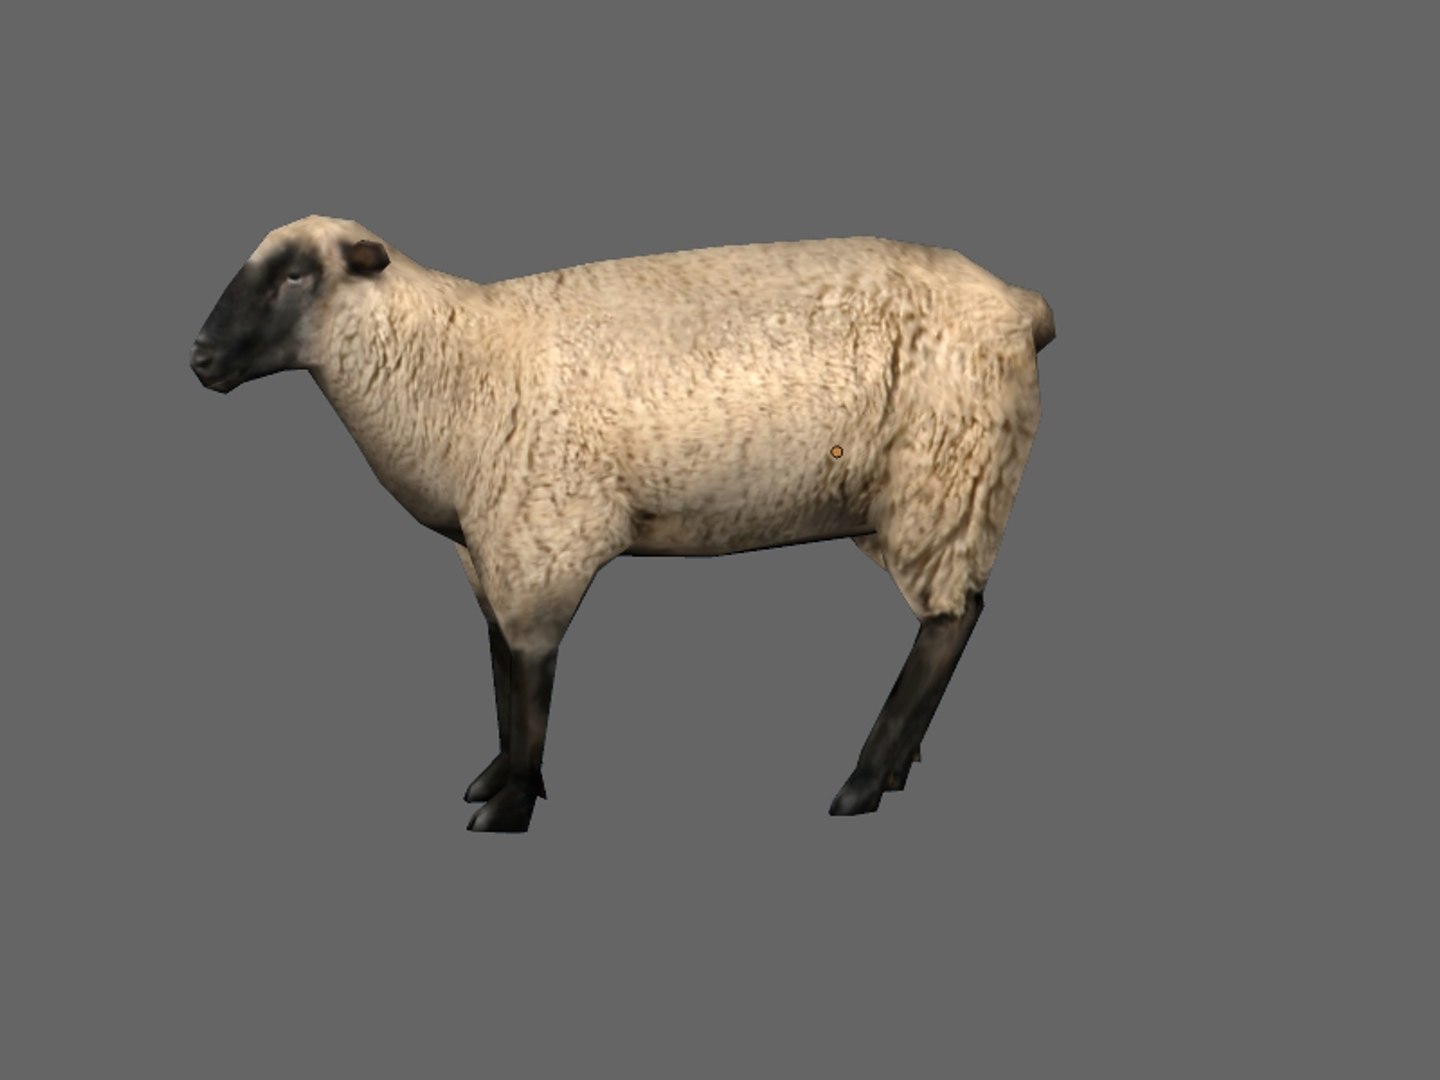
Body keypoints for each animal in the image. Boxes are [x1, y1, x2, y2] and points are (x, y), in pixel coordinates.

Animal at [190, 214, 1055, 833]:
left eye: (296, 275)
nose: (198, 358)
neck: (453, 362)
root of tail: (1021, 305)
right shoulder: (488, 549)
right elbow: (498, 665)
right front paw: (498, 776)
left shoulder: (543, 537)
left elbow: (530, 676)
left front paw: (511, 804)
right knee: (957, 614)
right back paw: (900, 765)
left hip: (947, 476)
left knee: (950, 621)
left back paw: (865, 780)